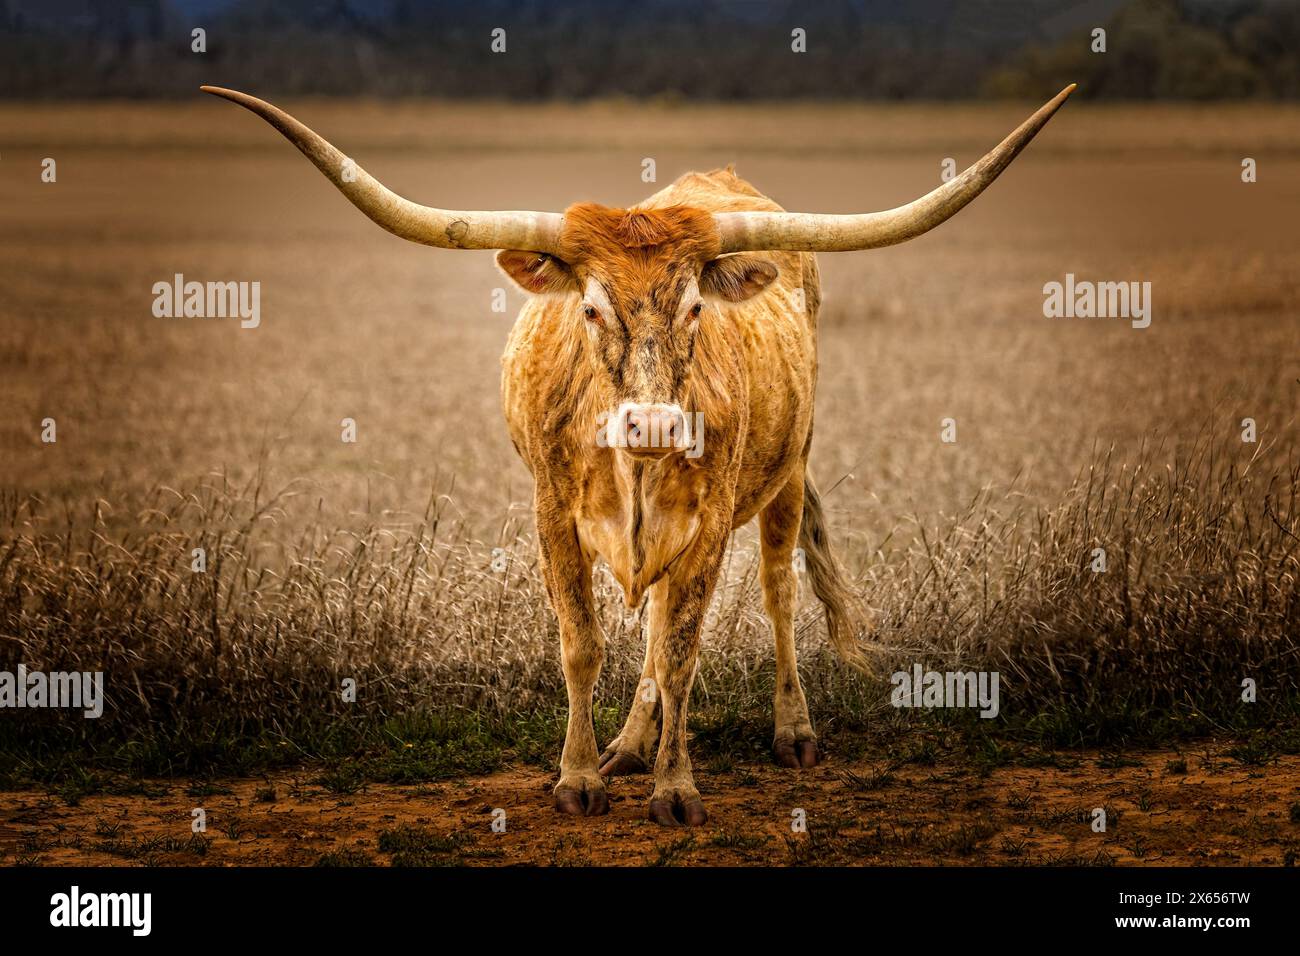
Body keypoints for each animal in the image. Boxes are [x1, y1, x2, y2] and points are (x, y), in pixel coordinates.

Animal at [202, 83, 1074, 826]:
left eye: (693, 307)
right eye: (590, 308)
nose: (652, 429)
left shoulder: (711, 524)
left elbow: (684, 652)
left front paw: (676, 788)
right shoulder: (551, 517)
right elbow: (585, 644)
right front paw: (582, 777)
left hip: (787, 477)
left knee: (777, 596)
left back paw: (790, 730)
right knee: (654, 624)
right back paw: (628, 745)